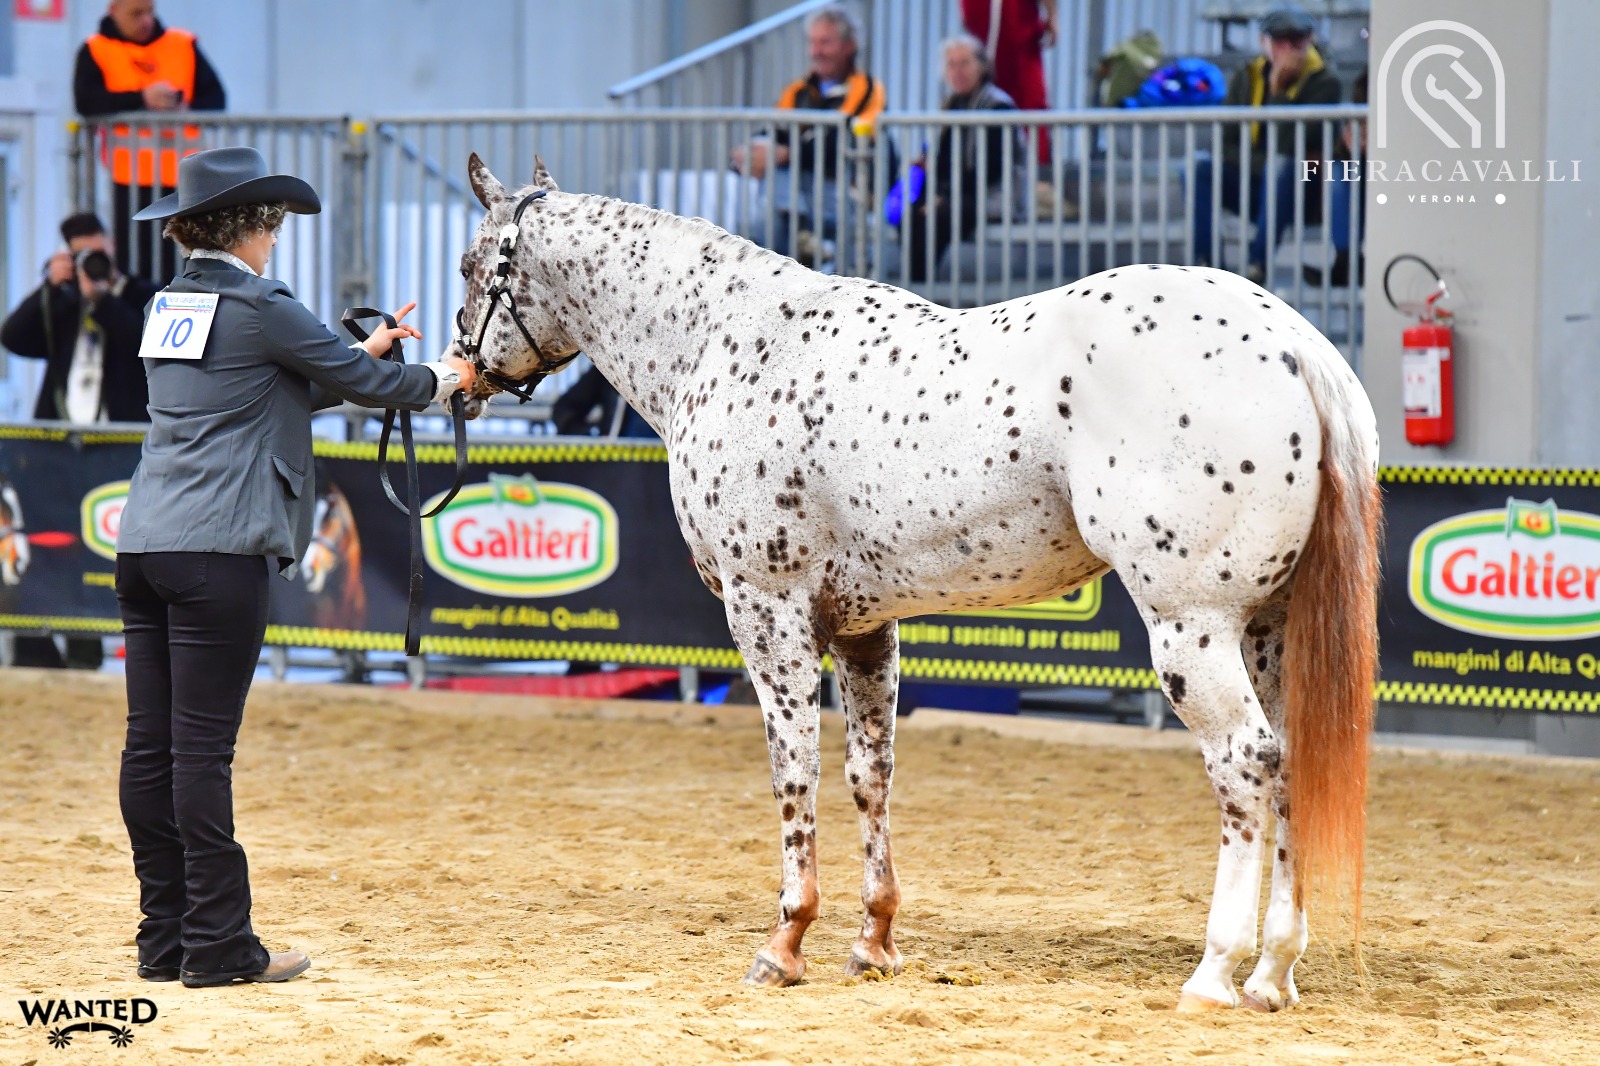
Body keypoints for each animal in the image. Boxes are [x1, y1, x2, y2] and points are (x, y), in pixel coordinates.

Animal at [450, 154, 1382, 1012]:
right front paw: (874, 943)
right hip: (1267, 627)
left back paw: (1217, 970)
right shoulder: (865, 626)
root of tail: (1295, 345)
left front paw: (785, 943)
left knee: (1245, 763)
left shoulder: (768, 609)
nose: (458, 378)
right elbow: (871, 772)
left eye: (467, 265)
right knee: (1291, 763)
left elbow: (794, 770)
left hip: (1192, 626)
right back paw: (1272, 972)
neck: (727, 338)